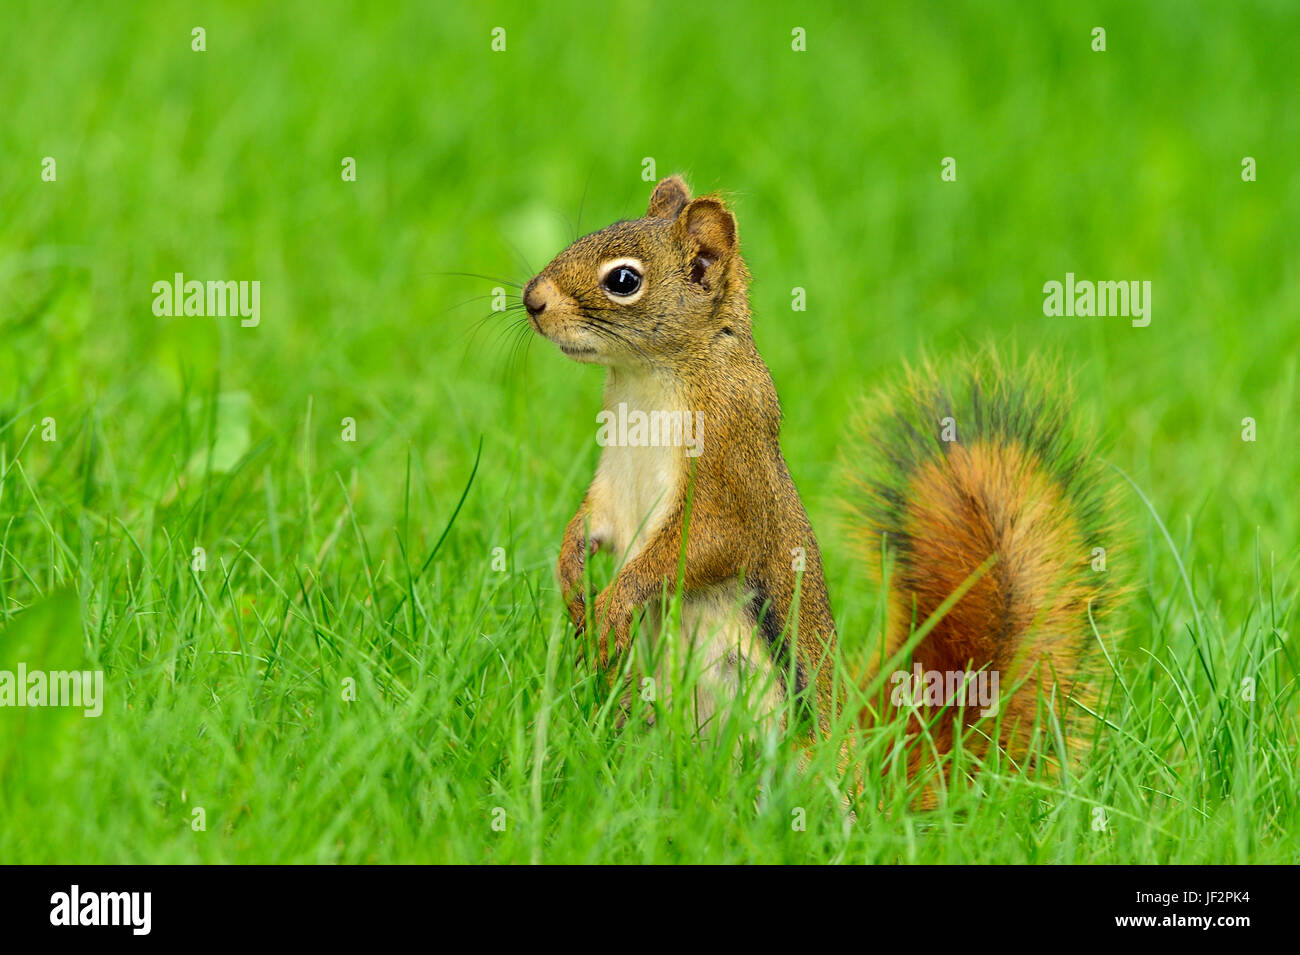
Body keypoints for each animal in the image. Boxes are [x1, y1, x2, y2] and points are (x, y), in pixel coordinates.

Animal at [521, 175, 1121, 777]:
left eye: (624, 280)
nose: (531, 299)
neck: (646, 380)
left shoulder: (728, 474)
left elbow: (704, 547)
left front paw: (615, 601)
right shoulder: (614, 481)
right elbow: (592, 522)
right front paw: (571, 575)